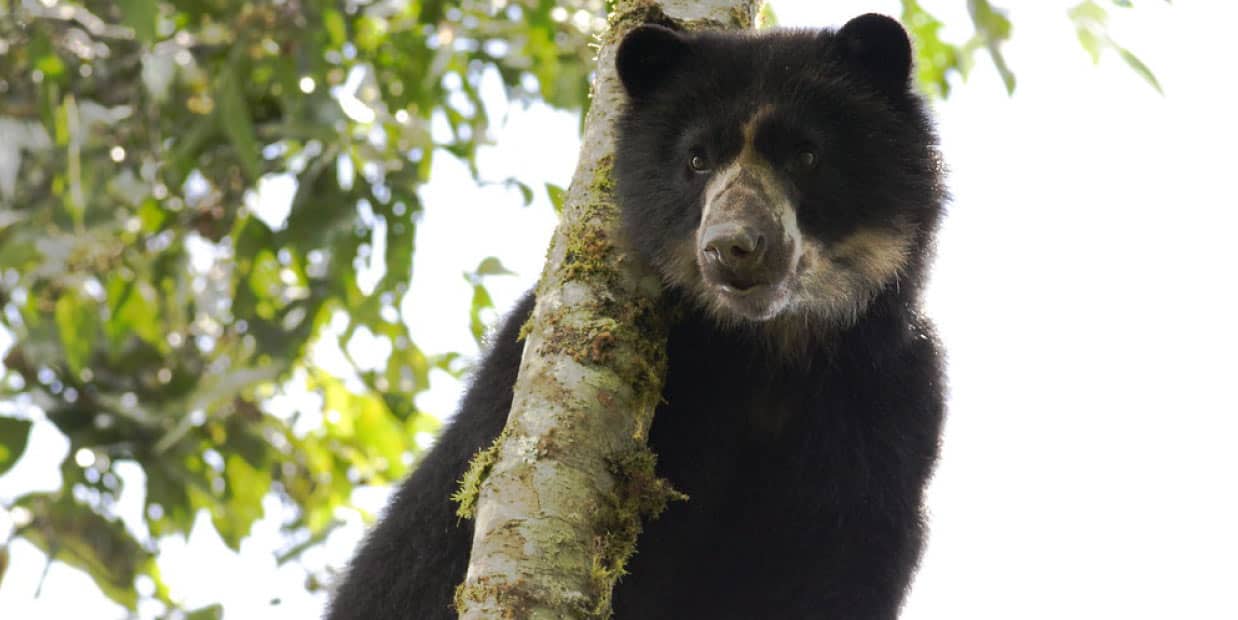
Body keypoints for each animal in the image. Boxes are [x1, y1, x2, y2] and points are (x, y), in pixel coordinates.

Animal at [326, 13, 945, 620]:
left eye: (807, 155)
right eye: (696, 160)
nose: (732, 246)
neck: (771, 347)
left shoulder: (890, 407)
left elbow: (841, 565)